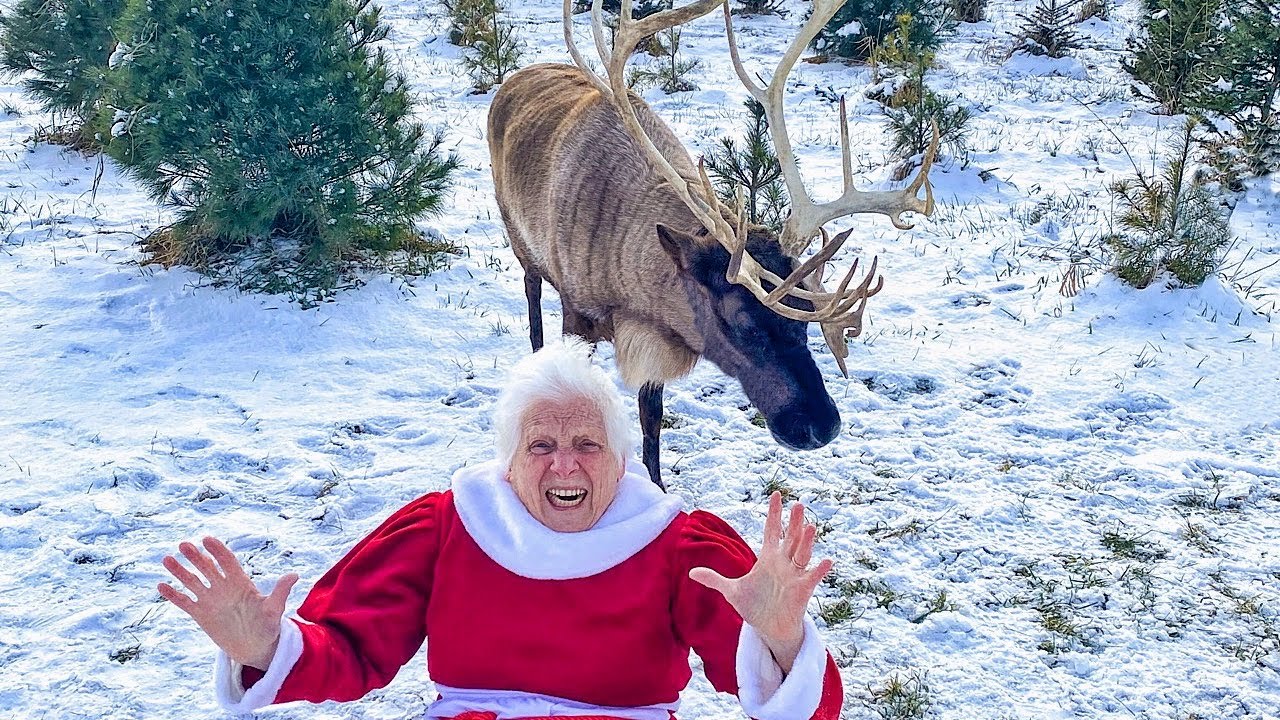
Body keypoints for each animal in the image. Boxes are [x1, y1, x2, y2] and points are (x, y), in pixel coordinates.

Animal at [487, 0, 938, 489]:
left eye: (804, 320)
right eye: (742, 323)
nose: (821, 425)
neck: (630, 296)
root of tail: (514, 78)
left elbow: (651, 417)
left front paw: (657, 484)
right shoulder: (578, 311)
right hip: (516, 232)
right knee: (532, 298)